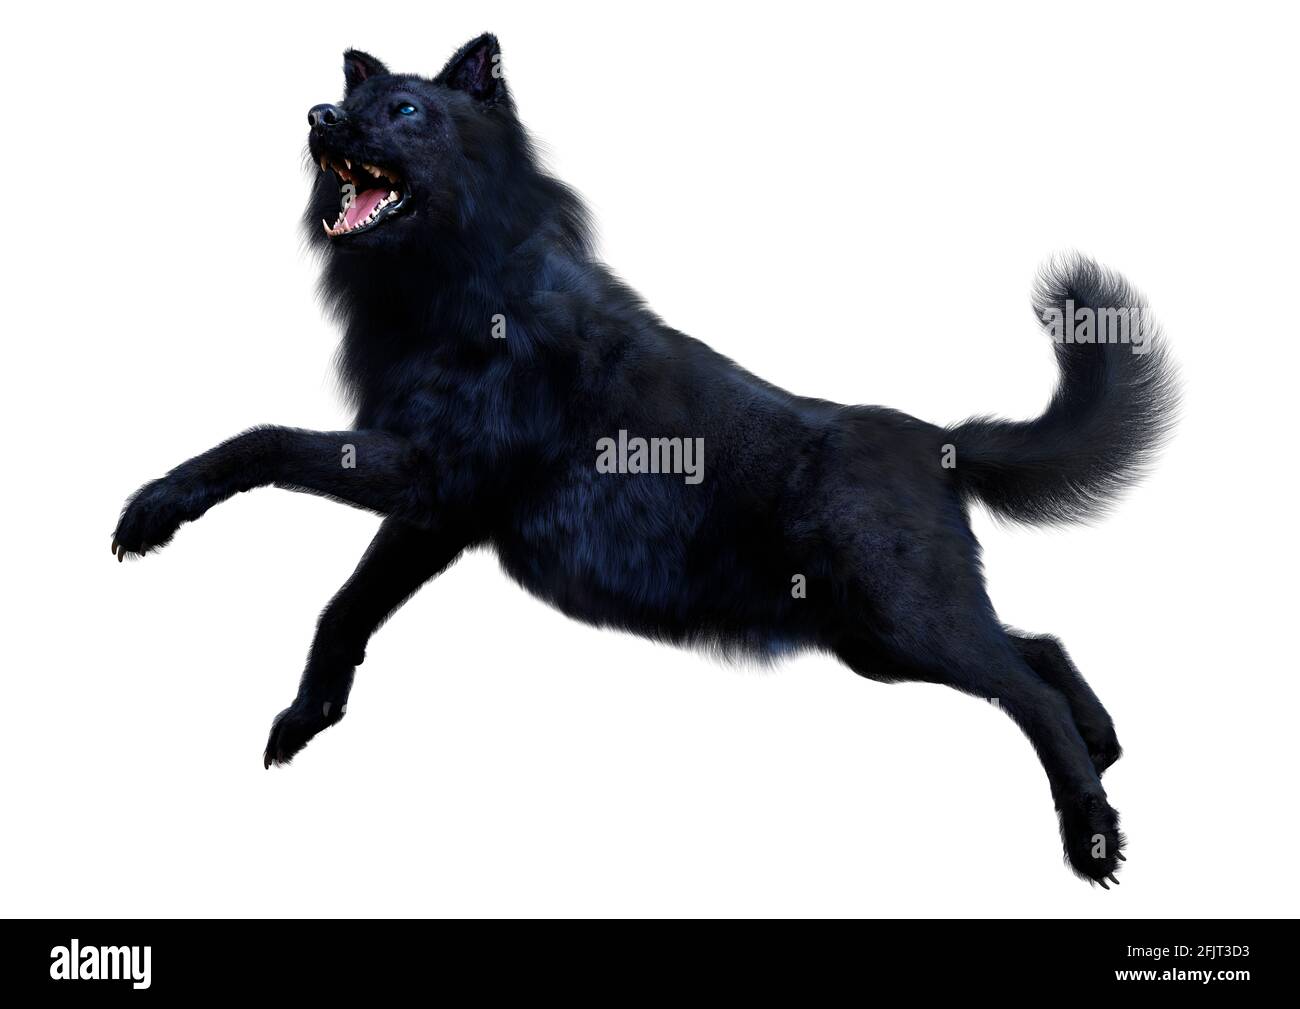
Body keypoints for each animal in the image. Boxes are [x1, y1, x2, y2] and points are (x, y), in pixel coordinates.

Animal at [112, 35, 1178, 885]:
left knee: (1029, 689)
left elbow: (261, 441)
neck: (460, 288)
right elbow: (344, 606)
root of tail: (937, 439)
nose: (320, 114)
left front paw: (155, 508)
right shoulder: (433, 516)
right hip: (880, 643)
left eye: (406, 111)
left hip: (906, 624)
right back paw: (1108, 744)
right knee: (1041, 649)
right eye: (353, 102)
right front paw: (308, 713)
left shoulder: (423, 476)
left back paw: (1092, 835)